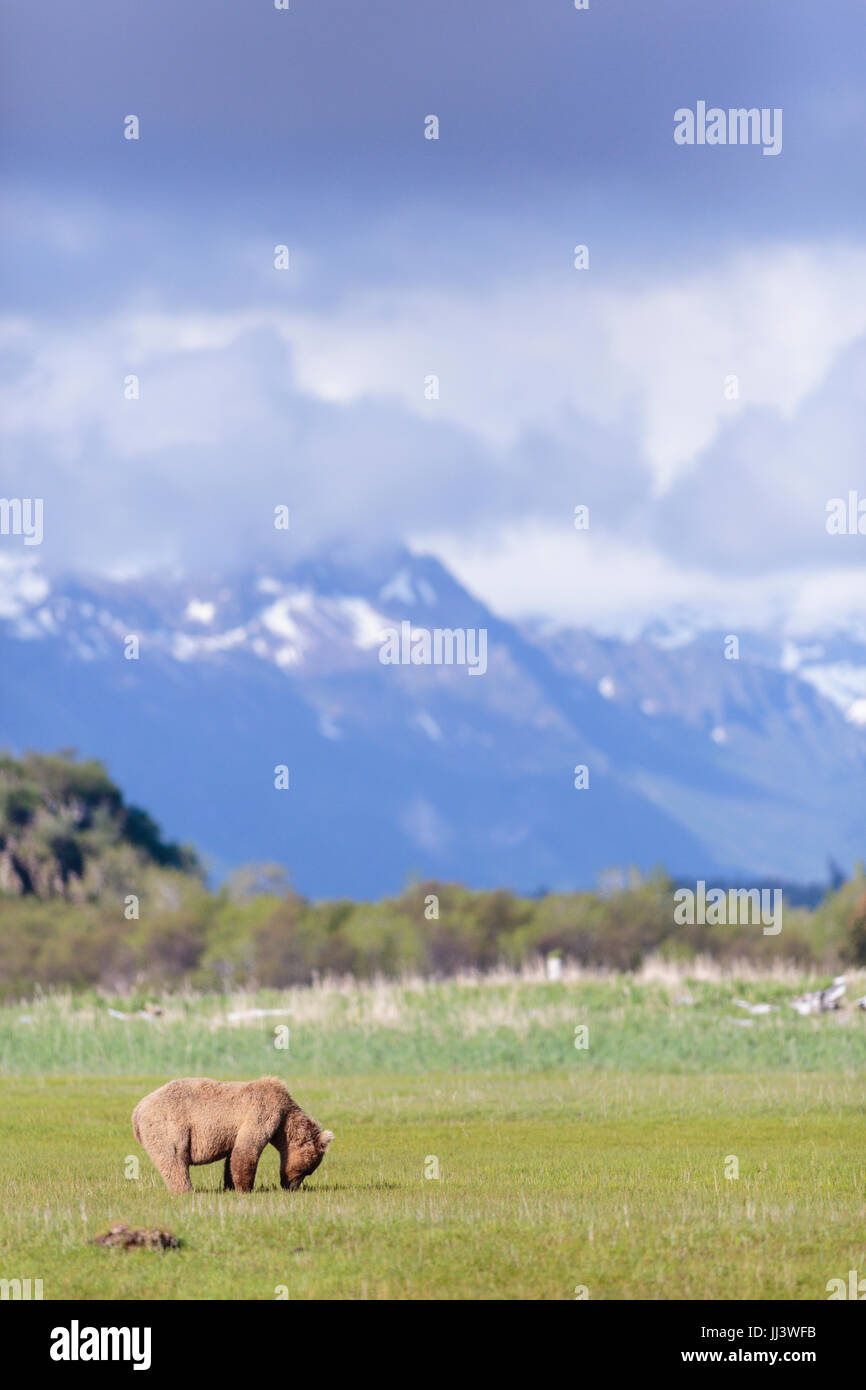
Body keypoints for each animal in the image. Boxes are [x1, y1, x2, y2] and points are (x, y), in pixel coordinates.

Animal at [132, 1076, 333, 1194]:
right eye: (308, 1170)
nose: (291, 1187)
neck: (284, 1121)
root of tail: (138, 1108)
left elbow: (232, 1157)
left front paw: (230, 1186)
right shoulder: (263, 1111)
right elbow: (247, 1150)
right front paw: (246, 1189)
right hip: (169, 1125)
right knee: (174, 1159)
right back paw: (186, 1190)